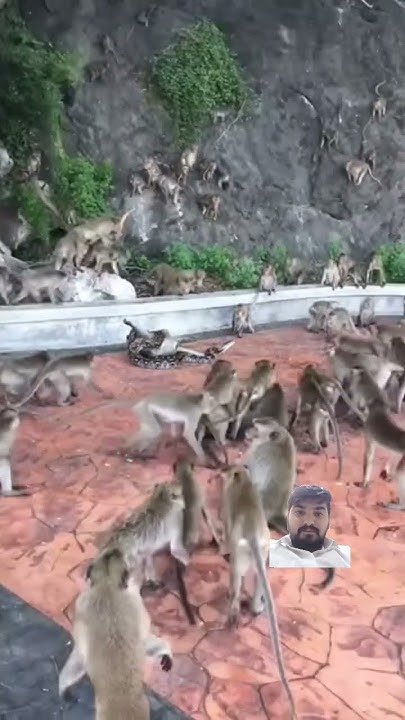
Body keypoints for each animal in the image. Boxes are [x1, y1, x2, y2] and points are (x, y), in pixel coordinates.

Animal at [221, 465, 296, 719]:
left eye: (229, 470)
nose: (223, 473)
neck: (244, 481)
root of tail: (253, 533)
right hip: (263, 549)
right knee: (259, 575)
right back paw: (256, 607)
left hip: (241, 552)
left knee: (236, 576)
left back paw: (233, 612)